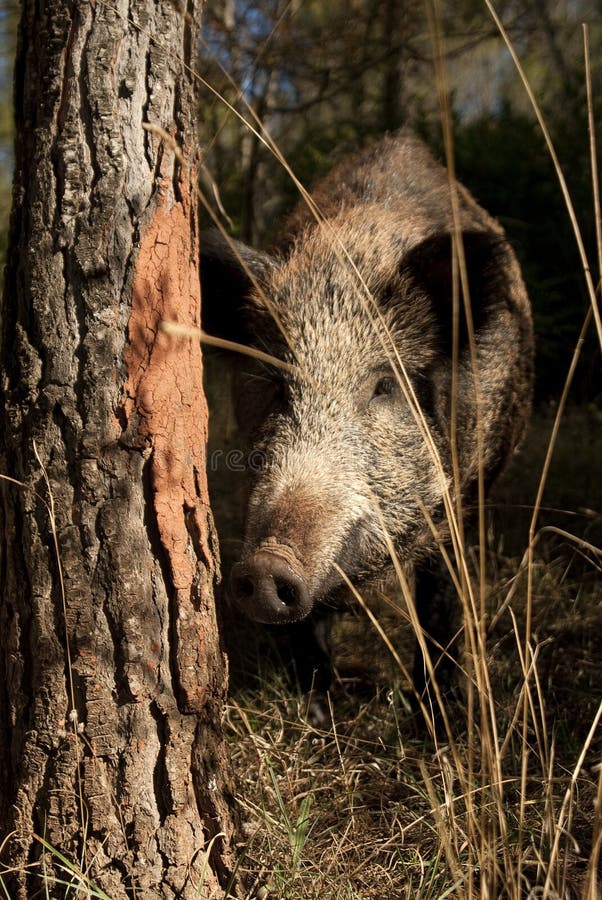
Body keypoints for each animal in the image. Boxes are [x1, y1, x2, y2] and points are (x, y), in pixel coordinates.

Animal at [201, 132, 533, 702]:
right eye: (275, 384)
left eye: (384, 386)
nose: (266, 566)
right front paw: (319, 702)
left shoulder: (460, 497)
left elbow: (441, 598)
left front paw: (440, 712)